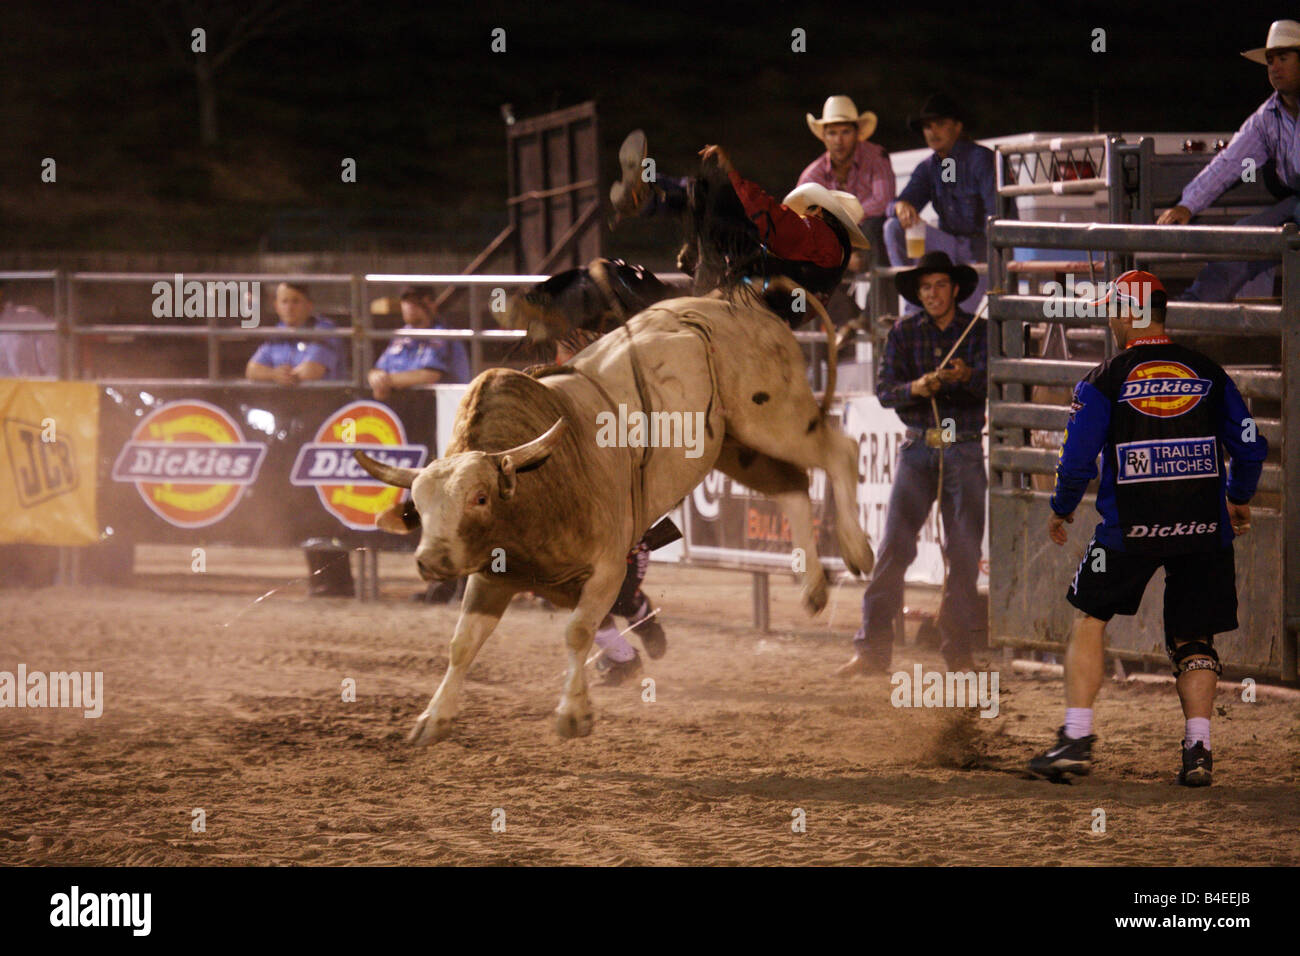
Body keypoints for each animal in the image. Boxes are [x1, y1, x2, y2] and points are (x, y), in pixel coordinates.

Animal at [356, 285, 874, 745]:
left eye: (480, 498)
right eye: (419, 507)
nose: (432, 562)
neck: (537, 483)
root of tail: (747, 305)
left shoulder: (606, 567)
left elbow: (578, 630)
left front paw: (573, 714)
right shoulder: (491, 577)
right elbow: (462, 645)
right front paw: (433, 719)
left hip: (775, 417)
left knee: (840, 452)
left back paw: (858, 550)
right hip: (734, 447)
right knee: (794, 487)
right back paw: (814, 588)